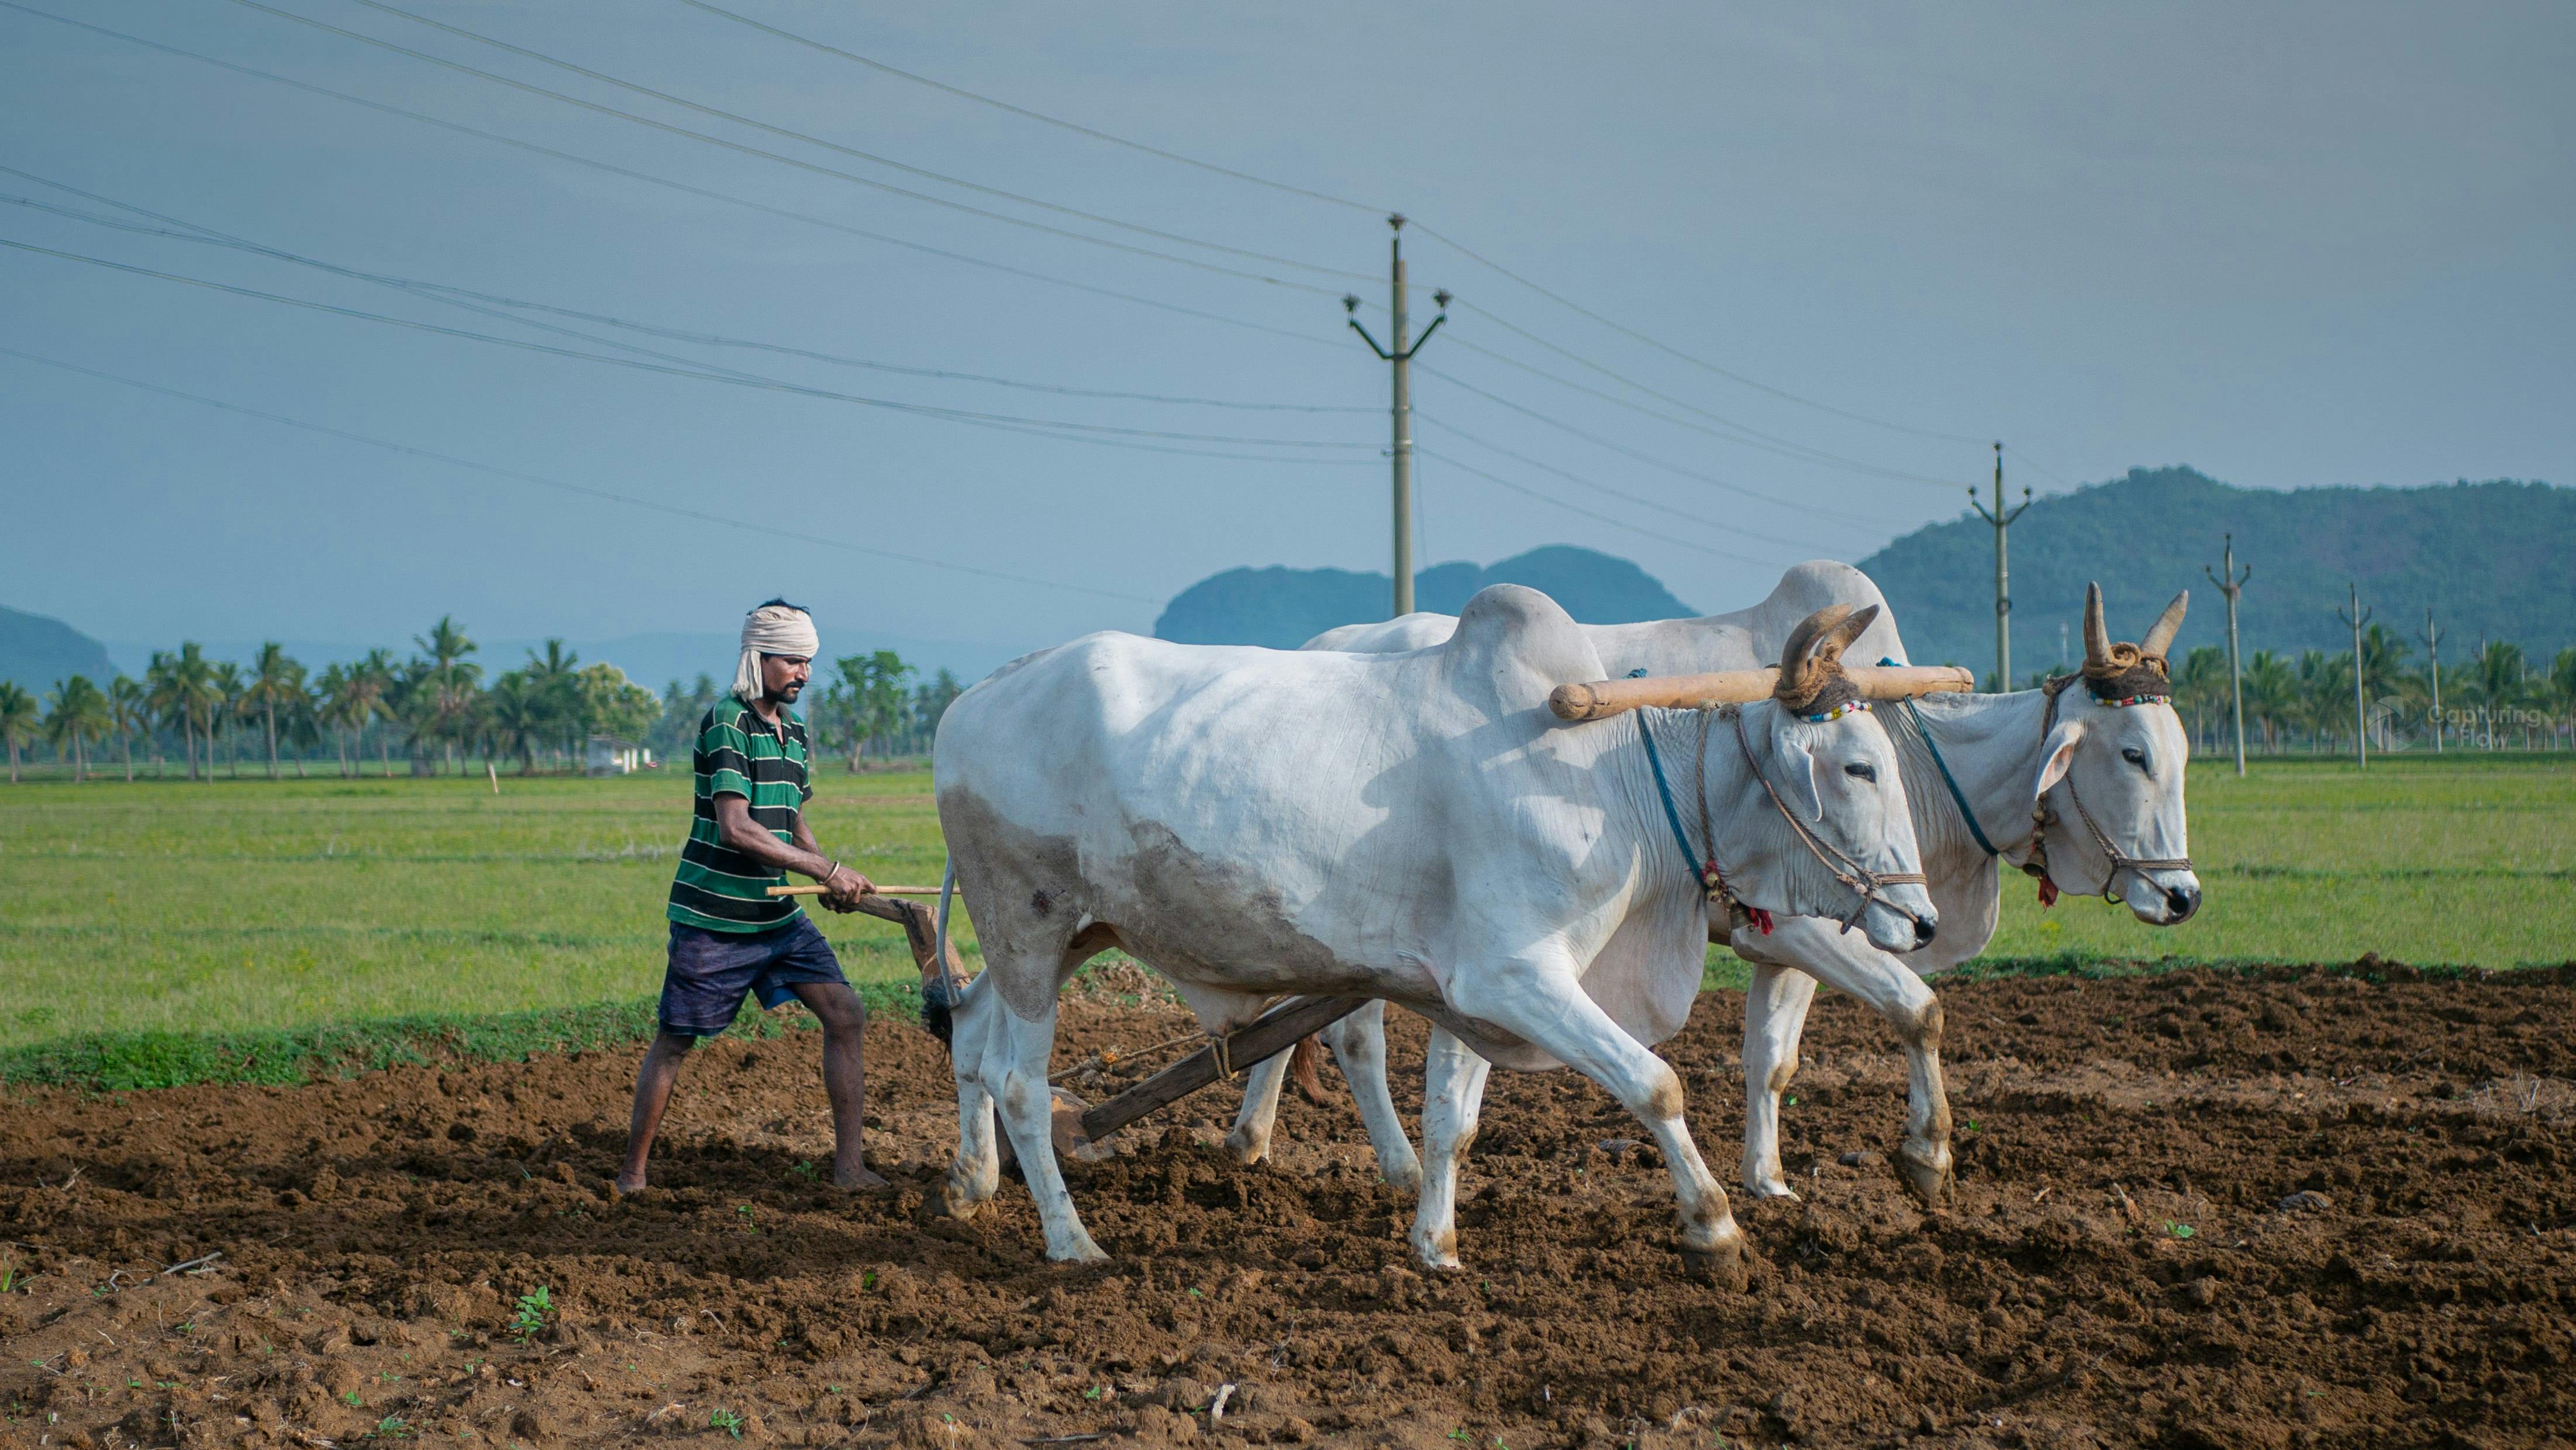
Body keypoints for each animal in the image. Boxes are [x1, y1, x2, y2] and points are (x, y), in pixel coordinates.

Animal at [931, 584, 1939, 1279]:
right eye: (1858, 765)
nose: (1922, 918)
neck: (1613, 783)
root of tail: (974, 696)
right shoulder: (1515, 976)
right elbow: (1655, 1083)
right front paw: (1717, 1229)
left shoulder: (1478, 992)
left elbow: (1455, 1120)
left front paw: (1436, 1244)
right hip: (1027, 925)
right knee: (1019, 1082)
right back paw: (1071, 1240)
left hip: (1064, 936)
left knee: (973, 1035)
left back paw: (972, 1184)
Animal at [1226, 563, 2200, 1206]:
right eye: (2132, 752)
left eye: (2182, 750)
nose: (2184, 896)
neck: (1923, 773)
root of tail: (1326, 643)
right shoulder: (1807, 922)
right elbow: (1919, 1007)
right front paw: (1926, 1156)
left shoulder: (1791, 941)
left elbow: (1774, 1059)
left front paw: (1768, 1180)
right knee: (1350, 1034)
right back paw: (1380, 1164)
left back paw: (1254, 1139)